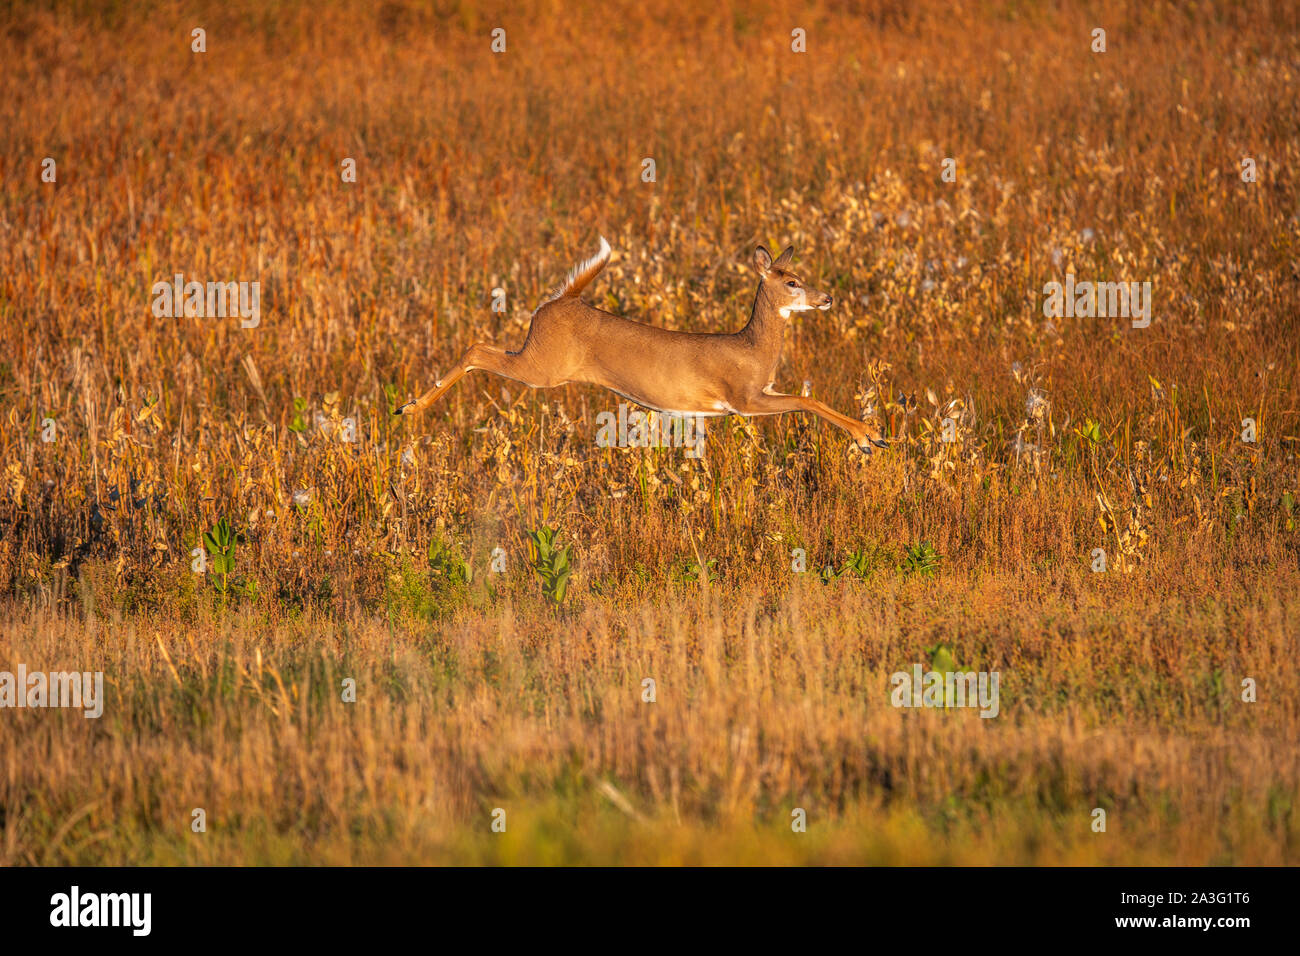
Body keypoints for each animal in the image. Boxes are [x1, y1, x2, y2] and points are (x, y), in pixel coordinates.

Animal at [396, 237, 889, 454]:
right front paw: (872, 438)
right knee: (477, 348)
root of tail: (560, 301)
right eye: (791, 282)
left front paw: (873, 436)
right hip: (542, 365)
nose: (827, 298)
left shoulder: (756, 395)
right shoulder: (743, 398)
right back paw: (409, 407)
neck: (752, 349)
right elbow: (809, 401)